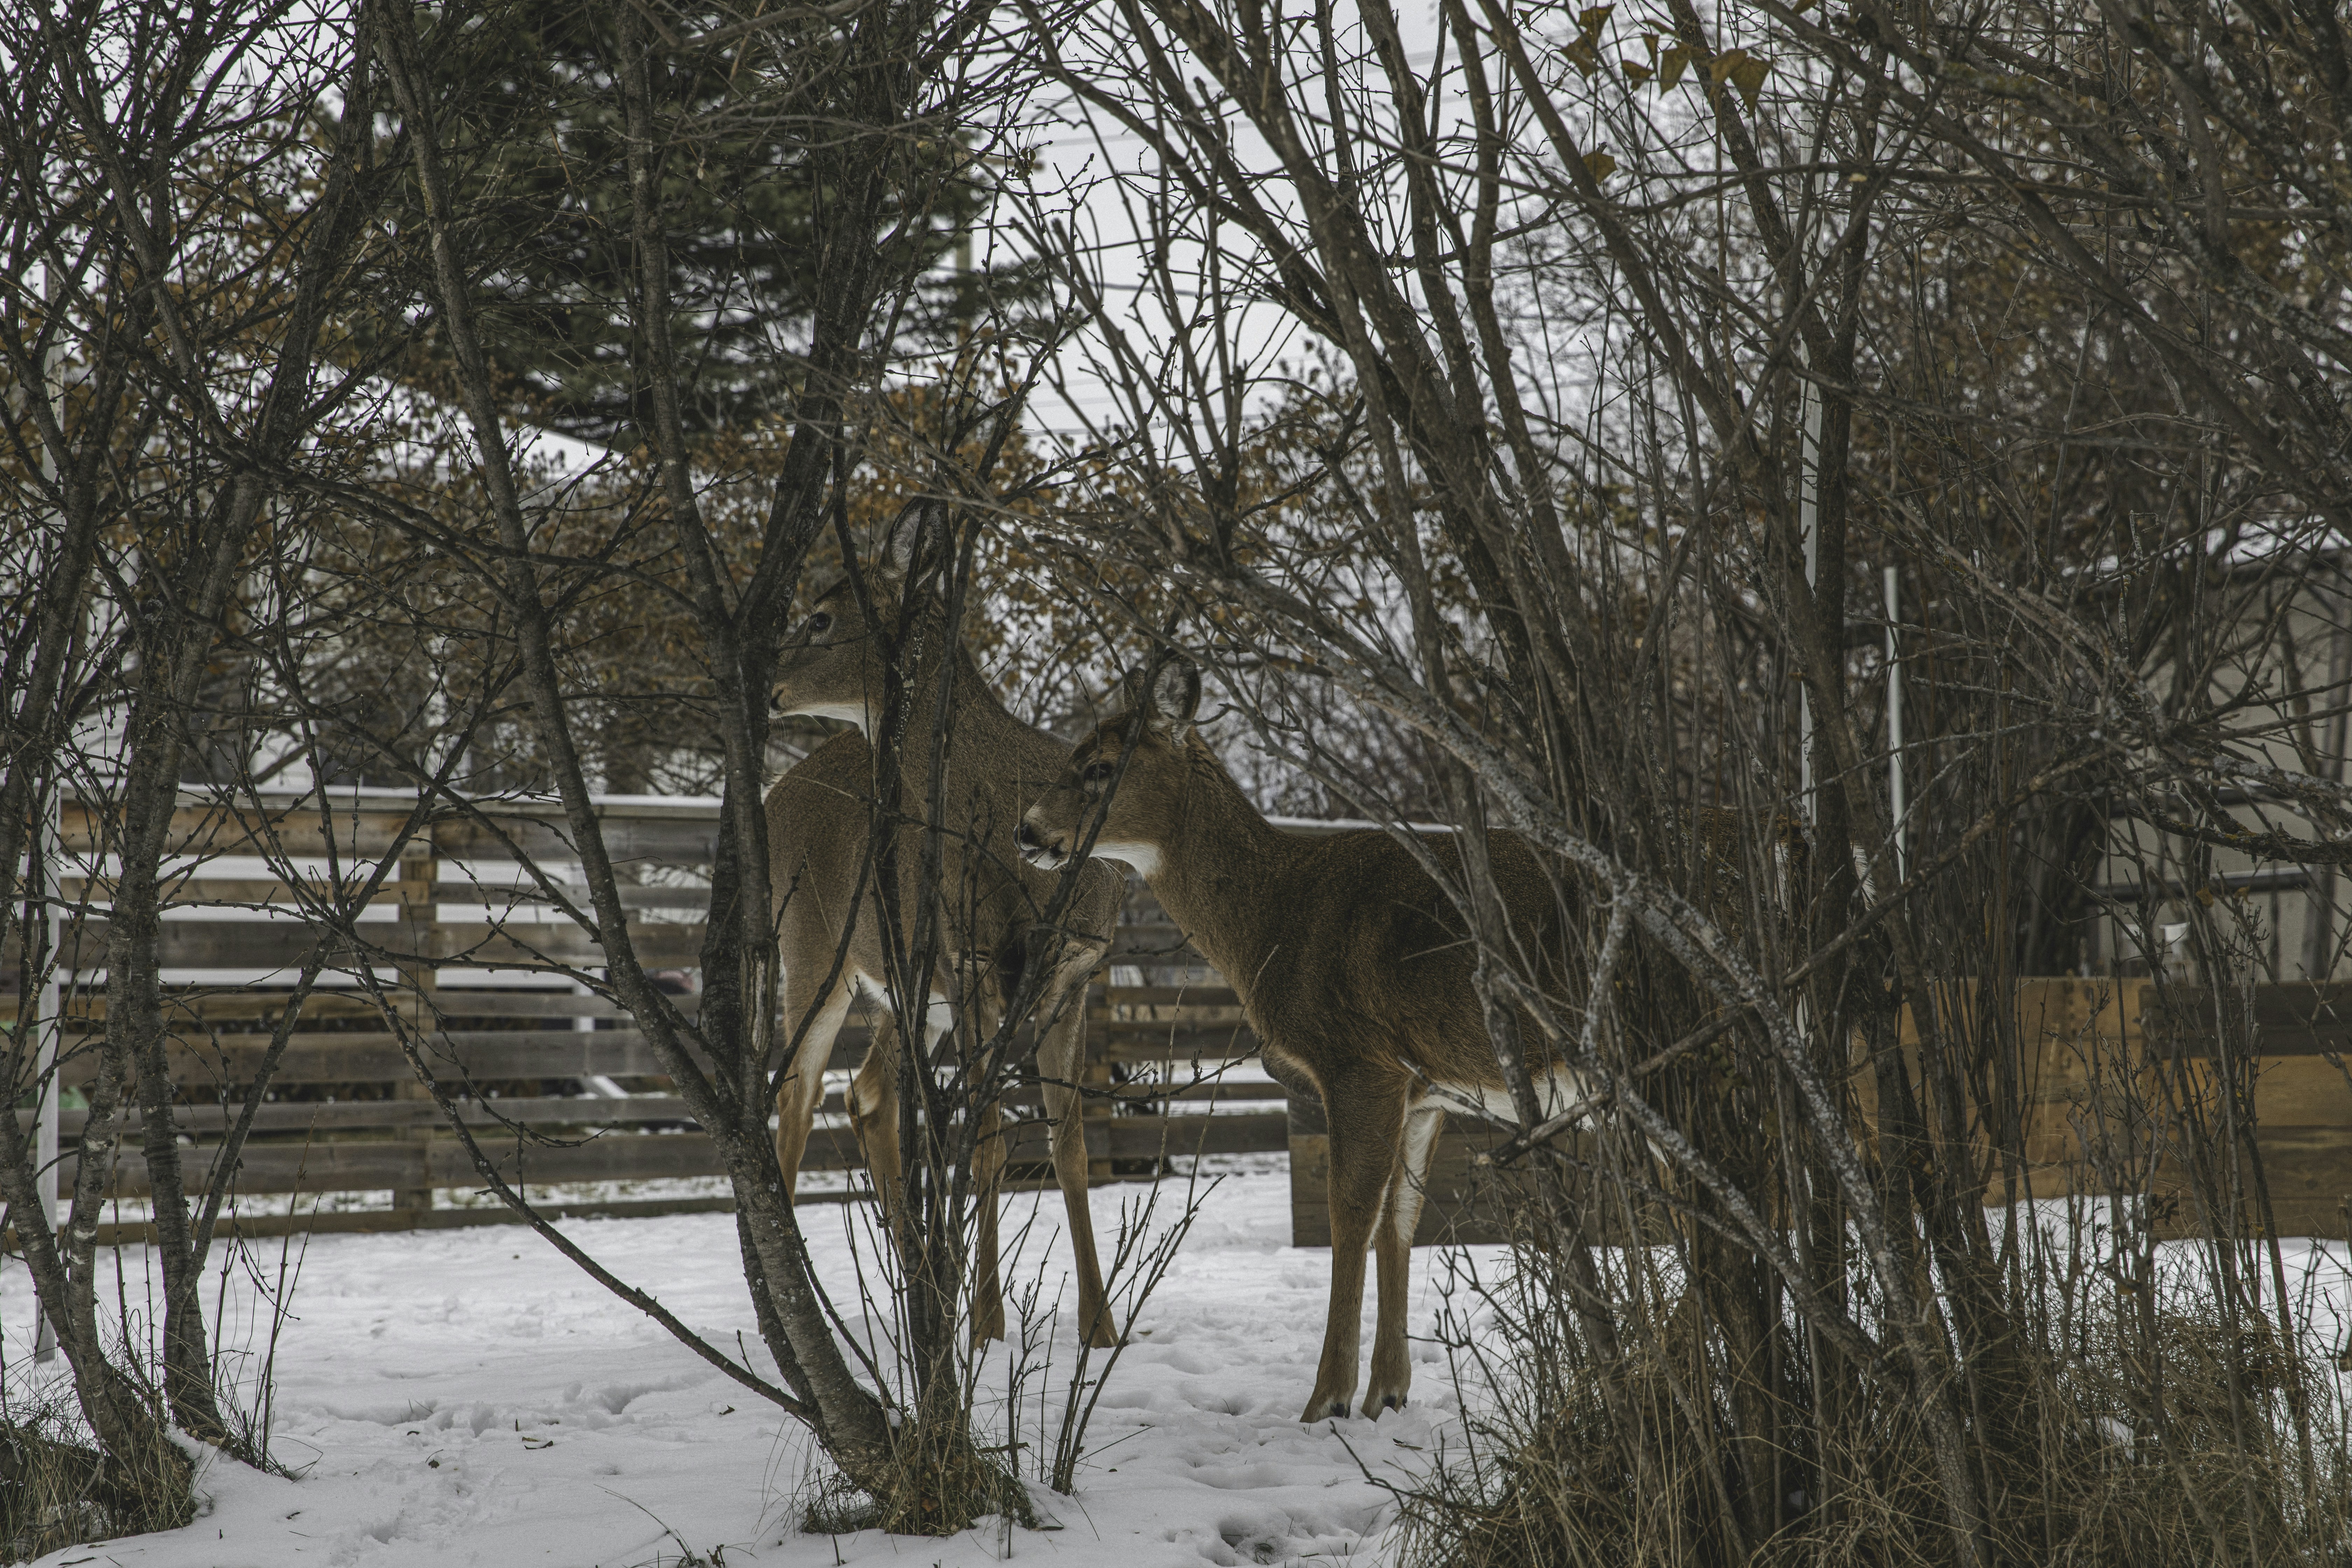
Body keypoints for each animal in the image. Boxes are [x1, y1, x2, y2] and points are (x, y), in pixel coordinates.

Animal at [764, 515, 1124, 1346]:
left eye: (822, 617)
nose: (769, 682)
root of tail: (769, 796)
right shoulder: (972, 968)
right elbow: (985, 1146)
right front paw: (989, 1319)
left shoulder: (1074, 977)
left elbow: (1070, 1148)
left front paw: (1102, 1325)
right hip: (814, 951)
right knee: (797, 1099)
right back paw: (811, 1305)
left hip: (906, 989)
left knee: (867, 1095)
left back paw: (917, 1280)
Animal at [1016, 657, 1596, 1421]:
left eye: (1100, 767)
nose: (1025, 831)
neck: (1276, 915)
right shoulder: (1426, 1087)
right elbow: (1401, 1217)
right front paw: (1387, 1393)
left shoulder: (1358, 1059)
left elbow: (1351, 1213)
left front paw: (1327, 1399)